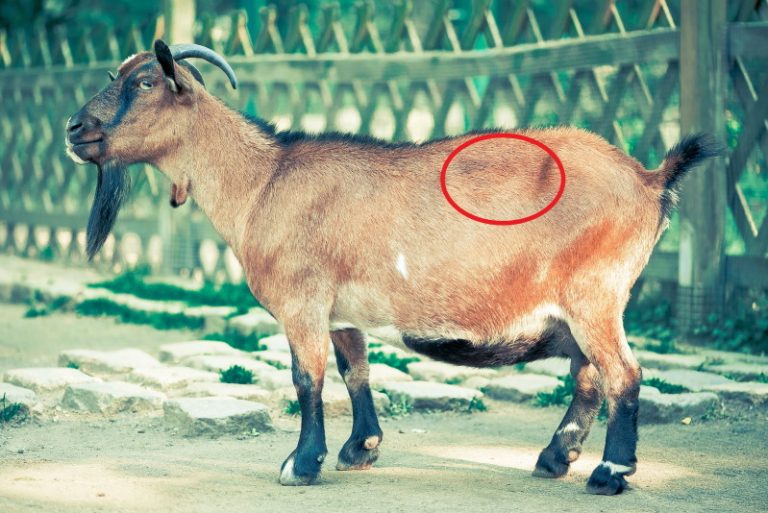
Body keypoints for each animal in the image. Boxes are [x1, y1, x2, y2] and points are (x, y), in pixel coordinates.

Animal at [65, 40, 719, 494]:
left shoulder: (302, 302)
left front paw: (301, 464)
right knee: (588, 375)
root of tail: (650, 179)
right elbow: (355, 371)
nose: (74, 128)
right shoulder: (341, 310)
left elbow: (306, 378)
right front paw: (361, 449)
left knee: (623, 375)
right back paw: (554, 459)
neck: (262, 181)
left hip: (595, 293)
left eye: (144, 81)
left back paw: (609, 472)